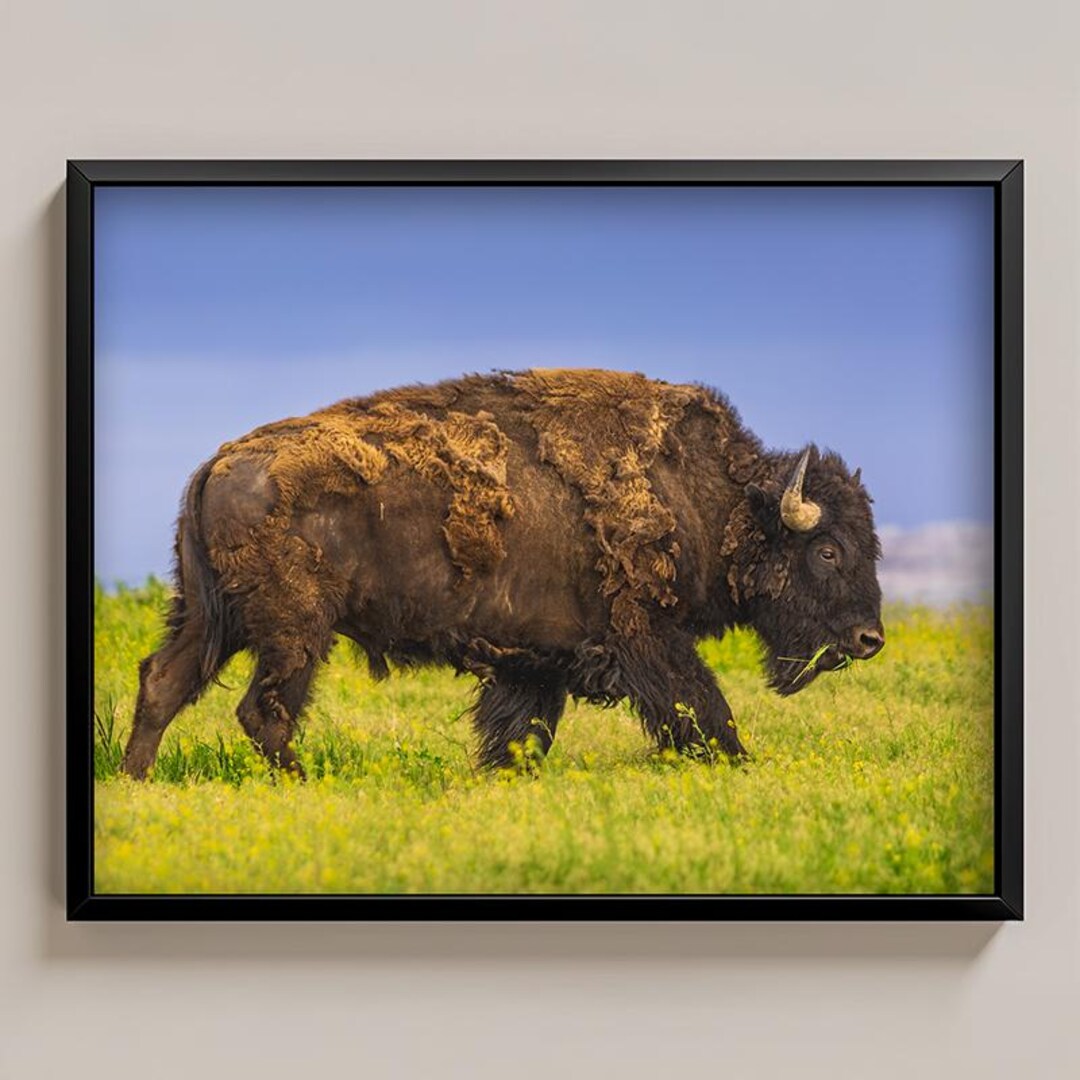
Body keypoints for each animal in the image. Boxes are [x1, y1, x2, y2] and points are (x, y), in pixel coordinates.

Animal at [121, 369, 884, 778]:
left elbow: (521, 733)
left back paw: (136, 781)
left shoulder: (535, 661)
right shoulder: (648, 638)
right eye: (828, 550)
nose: (870, 639)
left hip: (211, 615)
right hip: (294, 629)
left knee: (163, 683)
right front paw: (738, 763)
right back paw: (303, 784)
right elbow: (701, 708)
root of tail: (219, 462)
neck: (710, 496)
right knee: (265, 709)